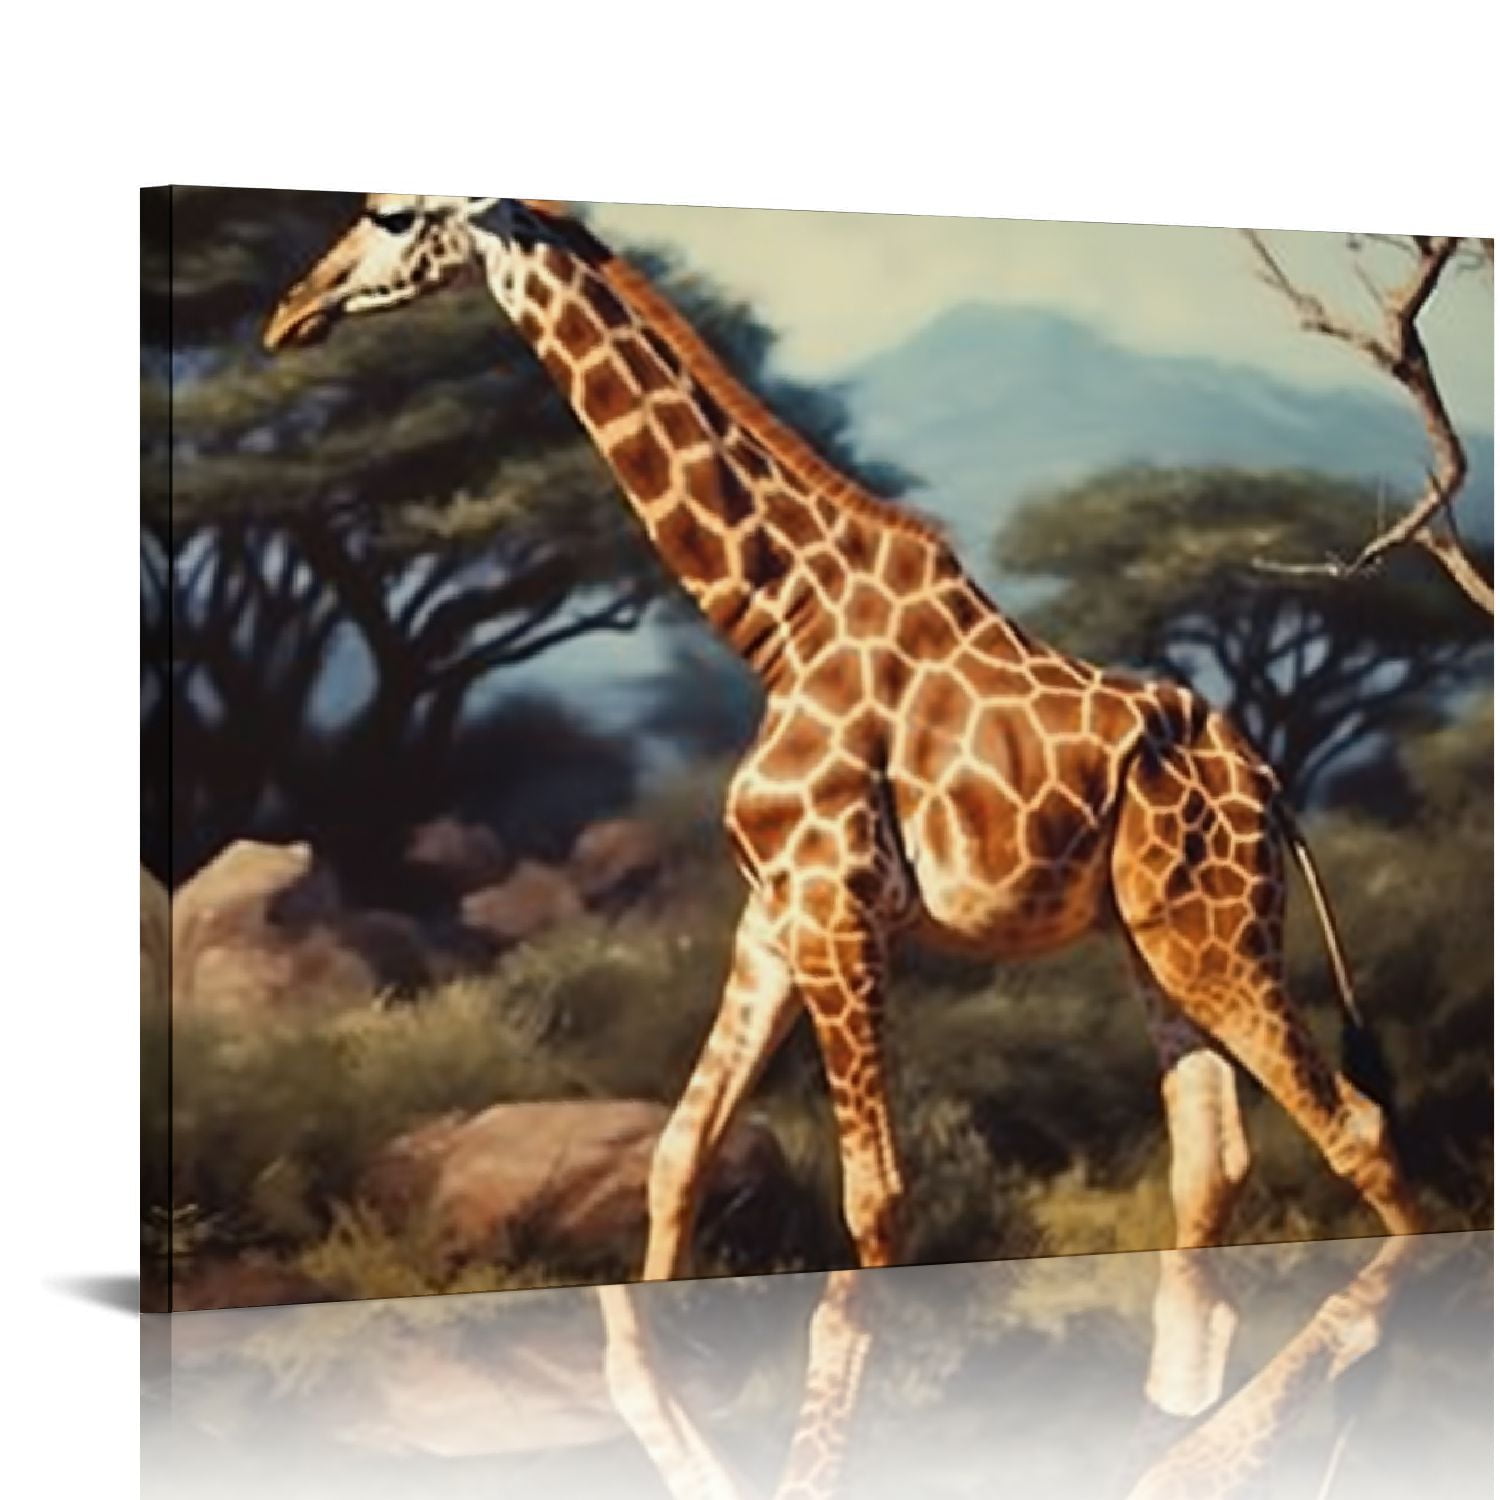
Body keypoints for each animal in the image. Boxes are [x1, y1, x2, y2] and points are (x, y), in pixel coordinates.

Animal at [265, 194, 1423, 1276]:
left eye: (390, 215)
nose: (289, 311)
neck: (780, 623)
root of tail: (1268, 782)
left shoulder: (839, 910)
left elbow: (875, 1200)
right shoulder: (772, 915)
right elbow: (677, 1157)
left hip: (1215, 934)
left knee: (1358, 1130)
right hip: (1155, 938)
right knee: (1210, 1156)